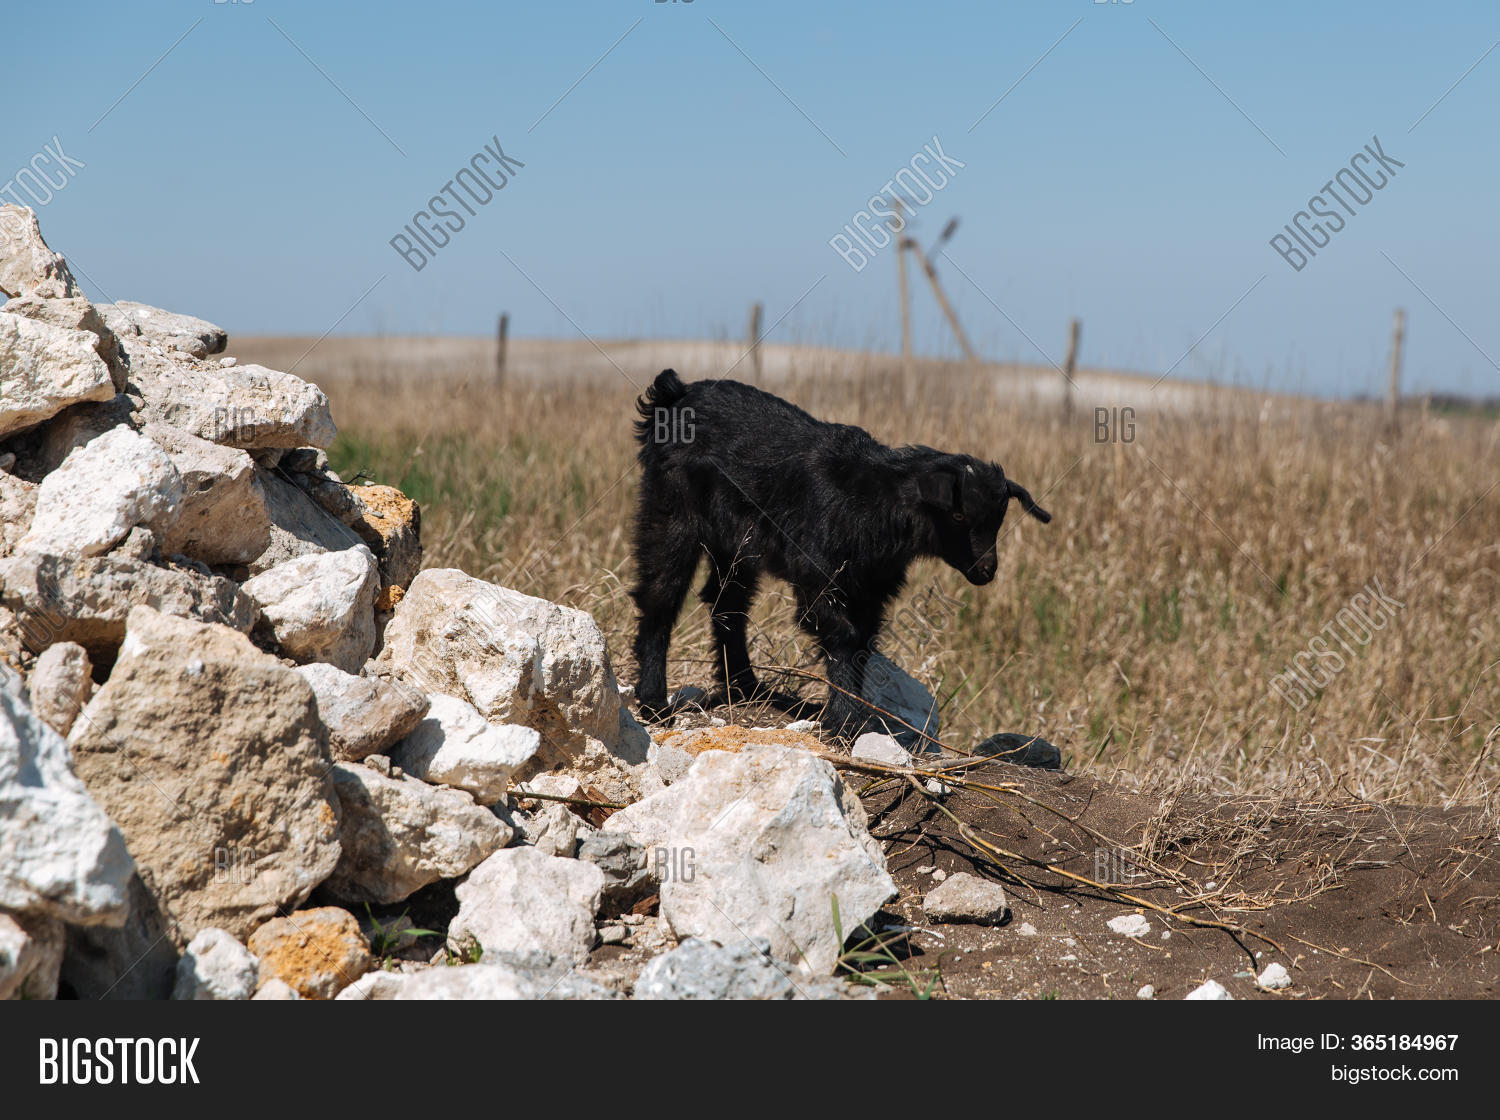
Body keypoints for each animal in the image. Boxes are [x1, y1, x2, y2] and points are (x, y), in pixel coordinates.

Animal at [629, 369, 1052, 737]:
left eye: (997, 521)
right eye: (959, 515)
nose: (986, 571)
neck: (873, 500)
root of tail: (676, 392)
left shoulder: (871, 589)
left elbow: (862, 643)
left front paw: (852, 716)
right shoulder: (818, 577)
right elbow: (844, 637)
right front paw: (845, 721)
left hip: (736, 544)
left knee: (727, 603)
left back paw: (748, 689)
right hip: (670, 513)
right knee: (661, 598)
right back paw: (654, 704)